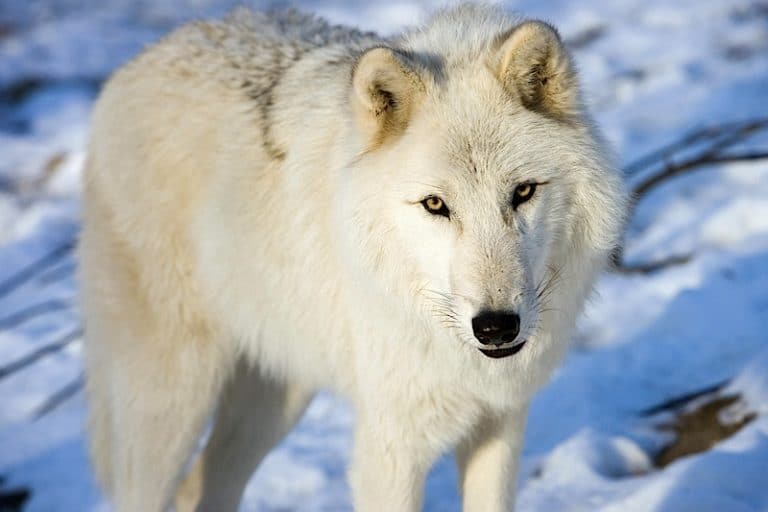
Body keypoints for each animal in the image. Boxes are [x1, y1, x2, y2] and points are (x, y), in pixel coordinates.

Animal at [80, 3, 626, 511]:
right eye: (435, 205)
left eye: (523, 192)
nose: (495, 327)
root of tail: (131, 67)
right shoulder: (391, 448)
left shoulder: (500, 423)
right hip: (172, 401)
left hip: (278, 395)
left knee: (201, 488)